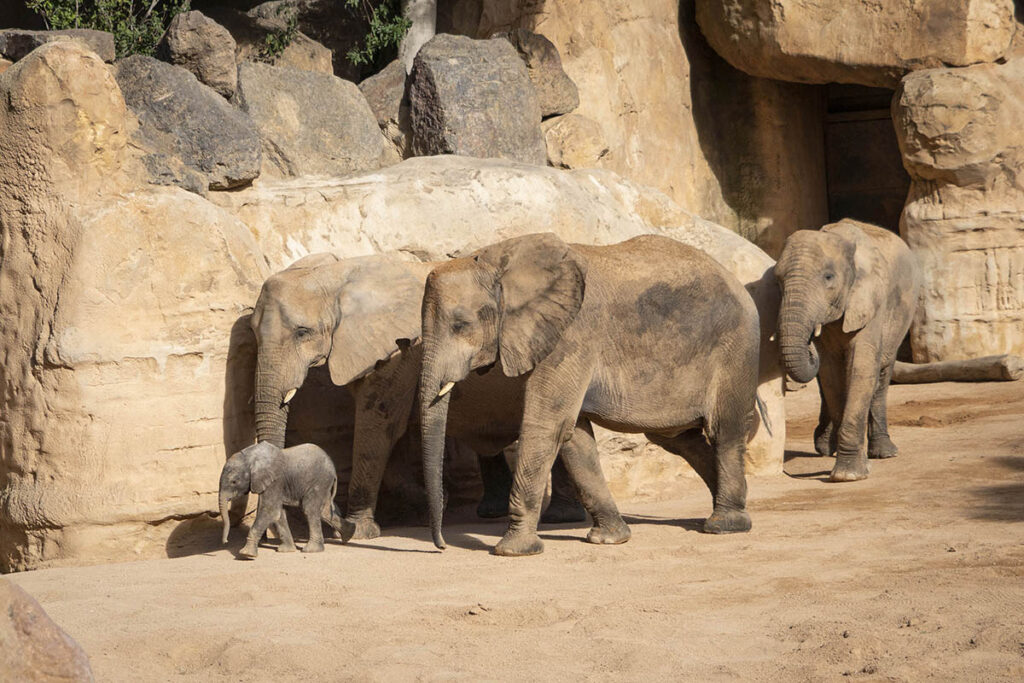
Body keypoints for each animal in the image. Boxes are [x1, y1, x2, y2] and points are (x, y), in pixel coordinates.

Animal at [248, 252, 587, 542]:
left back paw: (560, 517)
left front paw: (357, 531)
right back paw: (495, 511)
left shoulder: (401, 351)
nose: (270, 538)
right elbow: (389, 433)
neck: (334, 275)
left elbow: (380, 423)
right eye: (253, 332)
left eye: (302, 332)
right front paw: (430, 505)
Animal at [418, 232, 767, 556]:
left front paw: (513, 551)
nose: (441, 546)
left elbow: (547, 426)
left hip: (737, 347)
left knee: (724, 430)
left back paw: (724, 525)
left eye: (461, 325)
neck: (498, 262)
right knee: (678, 439)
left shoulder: (573, 335)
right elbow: (573, 436)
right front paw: (610, 539)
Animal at [774, 219, 921, 482]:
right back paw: (826, 448)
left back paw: (884, 453)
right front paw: (849, 468)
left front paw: (848, 475)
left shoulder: (871, 301)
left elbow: (861, 368)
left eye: (828, 277)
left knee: (882, 374)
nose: (810, 339)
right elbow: (831, 374)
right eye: (778, 280)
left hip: (901, 316)